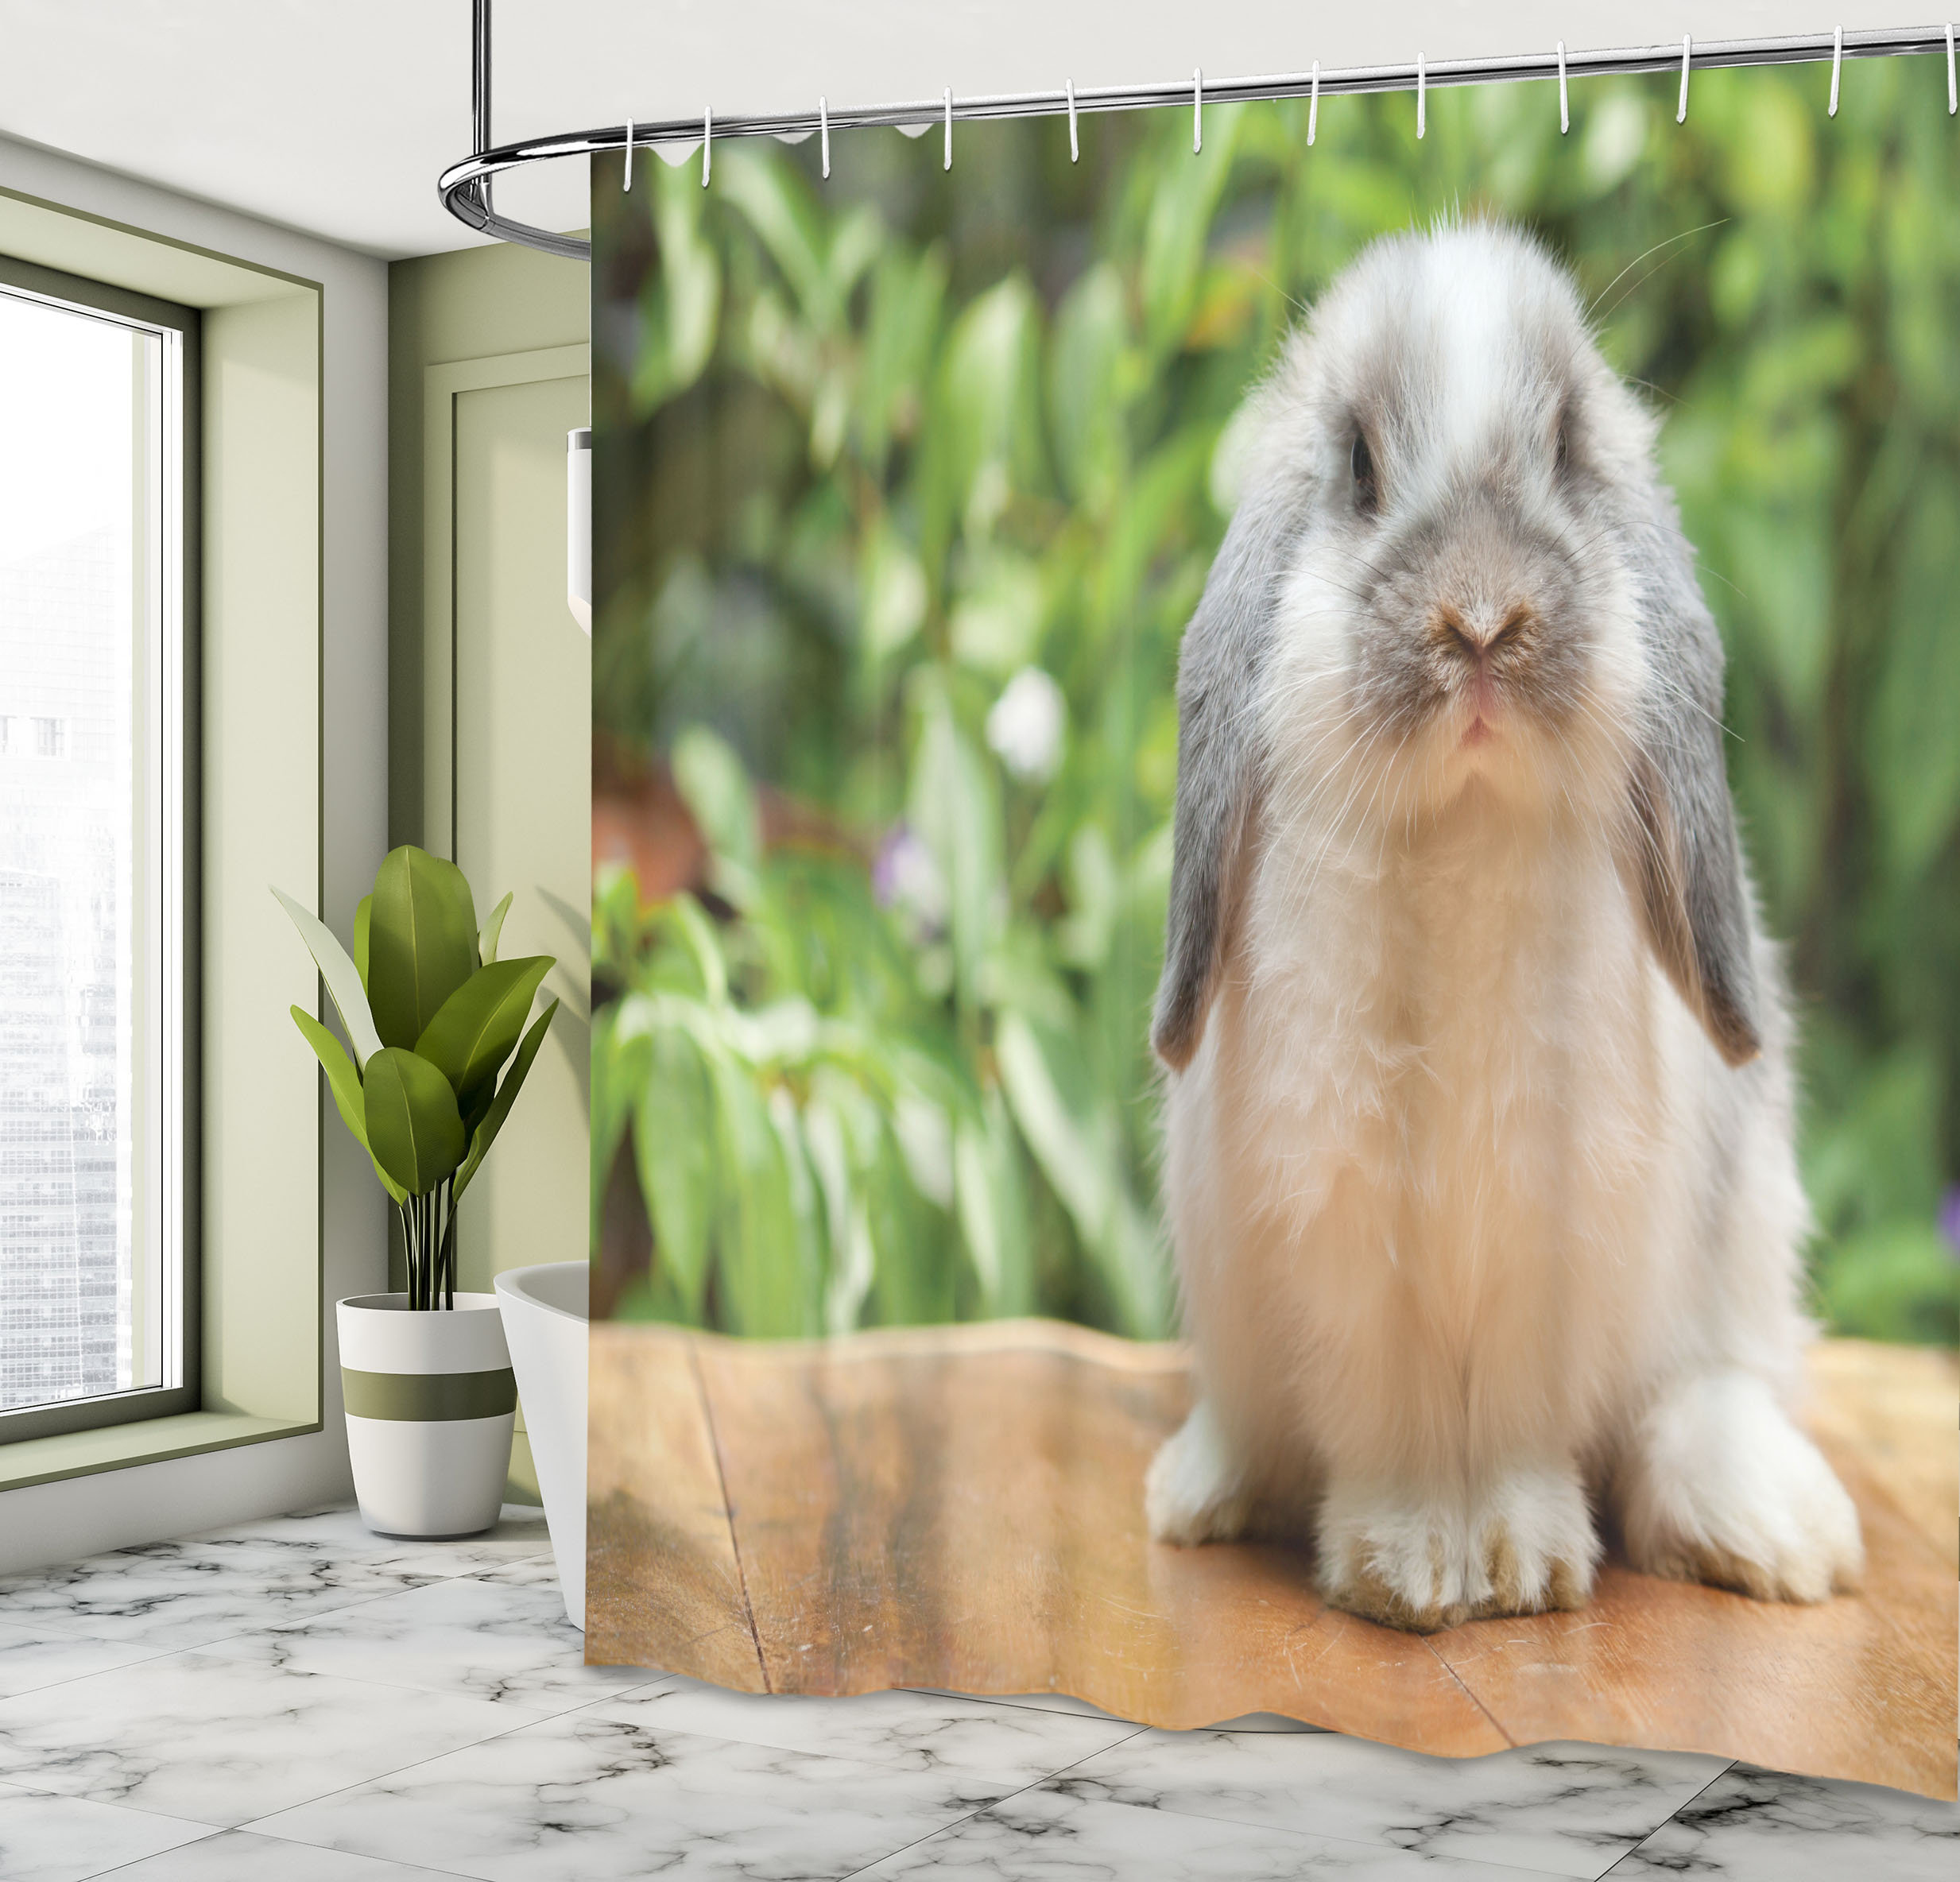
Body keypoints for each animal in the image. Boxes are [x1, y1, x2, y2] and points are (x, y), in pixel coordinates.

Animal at [1144, 221, 1863, 1632]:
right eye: (1359, 466)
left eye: (1570, 451)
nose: (1479, 621)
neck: (1462, 836)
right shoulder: (1348, 1235)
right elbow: (1395, 1433)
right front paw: (1409, 1570)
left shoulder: (1560, 1232)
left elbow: (1524, 1437)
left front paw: (1523, 1566)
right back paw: (1203, 1493)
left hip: (1734, 1247)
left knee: (1699, 1393)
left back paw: (1774, 1530)